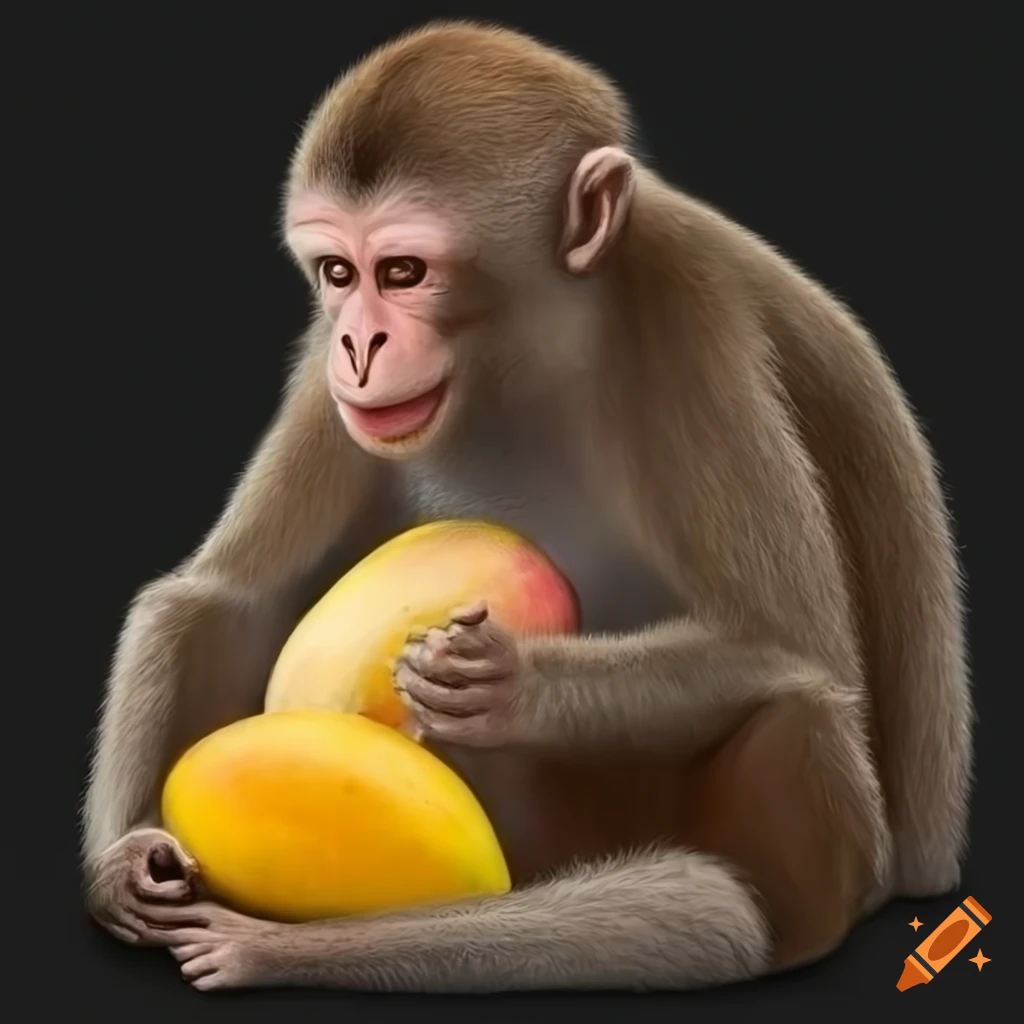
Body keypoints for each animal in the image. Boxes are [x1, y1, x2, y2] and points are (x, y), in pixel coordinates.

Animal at [82, 21, 972, 993]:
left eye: (404, 271)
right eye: (338, 273)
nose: (360, 345)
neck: (533, 351)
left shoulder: (691, 318)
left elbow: (793, 644)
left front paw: (515, 686)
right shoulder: (322, 357)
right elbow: (224, 601)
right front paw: (126, 861)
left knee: (780, 770)